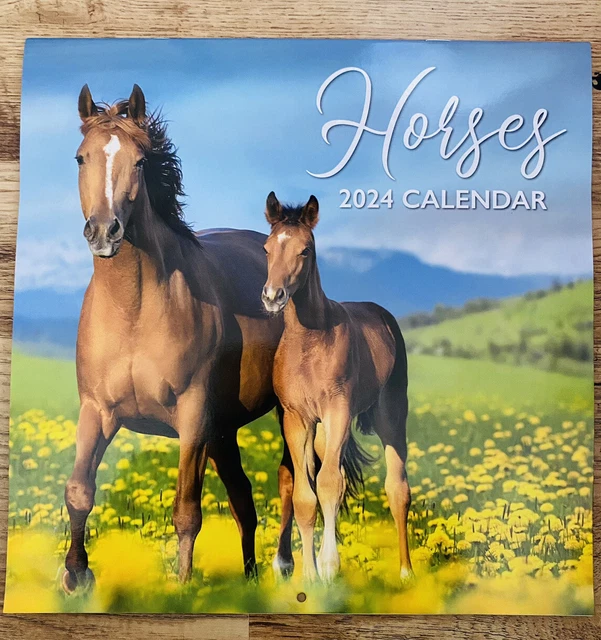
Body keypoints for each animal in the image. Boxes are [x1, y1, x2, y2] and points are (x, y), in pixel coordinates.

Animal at [64, 84, 294, 592]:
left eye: (140, 161)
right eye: (81, 158)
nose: (104, 232)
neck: (133, 311)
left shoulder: (192, 420)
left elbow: (187, 510)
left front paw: (183, 588)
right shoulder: (97, 411)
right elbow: (79, 491)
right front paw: (76, 576)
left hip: (284, 418)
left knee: (294, 483)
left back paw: (289, 568)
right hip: (224, 431)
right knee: (244, 501)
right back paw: (250, 578)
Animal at [261, 192, 413, 583]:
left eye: (305, 250)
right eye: (267, 248)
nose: (272, 296)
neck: (310, 341)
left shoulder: (337, 411)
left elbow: (329, 484)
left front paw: (329, 568)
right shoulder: (297, 419)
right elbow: (305, 495)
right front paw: (308, 576)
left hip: (390, 416)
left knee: (397, 488)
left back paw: (406, 572)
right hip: (322, 435)